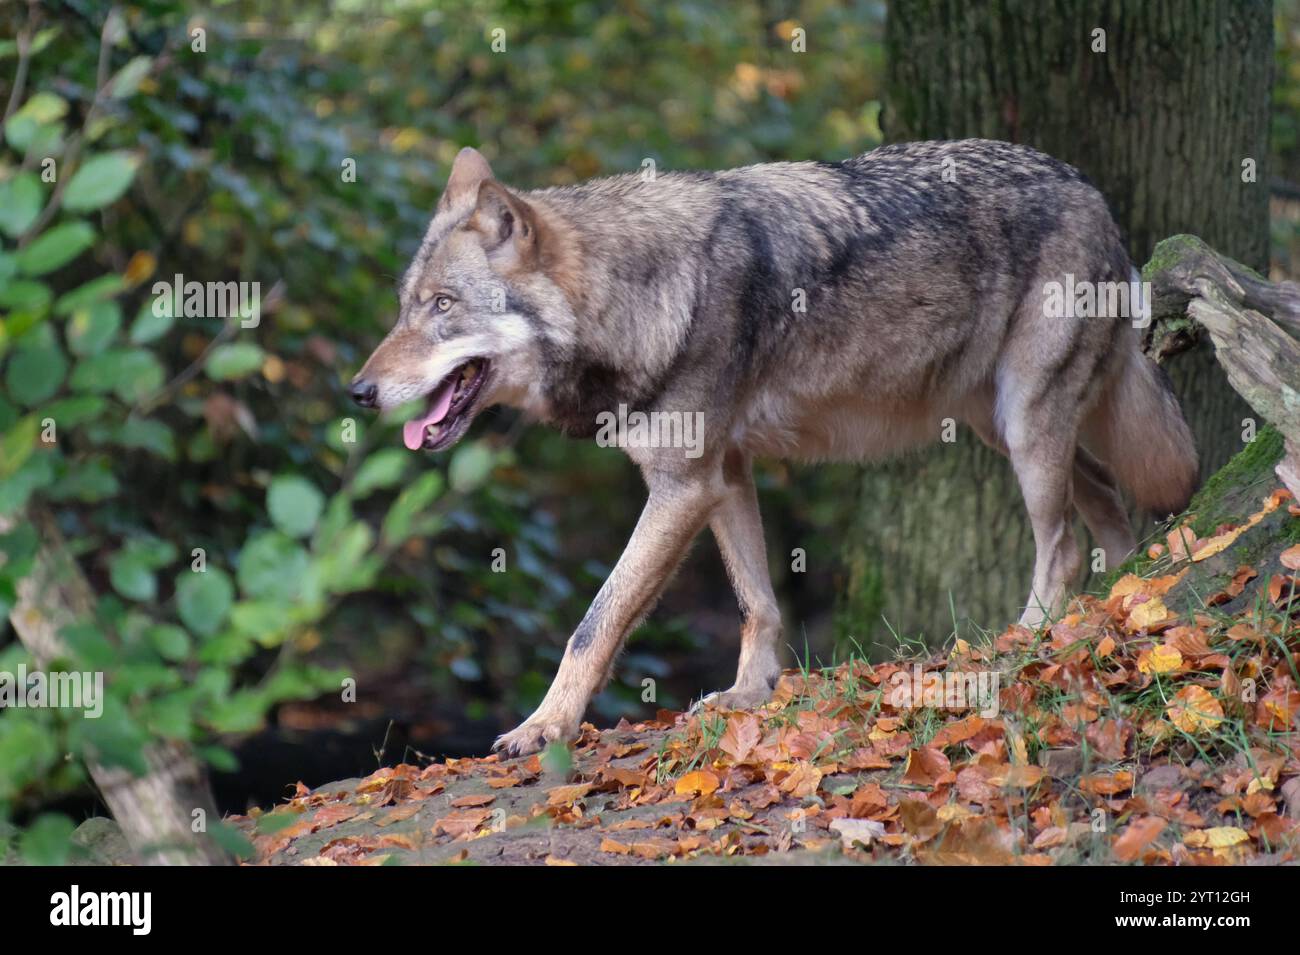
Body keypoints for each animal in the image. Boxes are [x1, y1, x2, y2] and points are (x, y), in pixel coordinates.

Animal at [351, 140, 1198, 757]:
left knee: (1062, 543)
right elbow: (756, 600)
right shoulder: (723, 474)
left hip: (1024, 422)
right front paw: (750, 692)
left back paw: (1031, 637)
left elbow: (593, 622)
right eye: (403, 307)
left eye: (443, 306)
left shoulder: (681, 485)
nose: (357, 392)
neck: (640, 292)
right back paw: (1121, 599)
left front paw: (543, 727)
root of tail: (1094, 193)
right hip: (1004, 423)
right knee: (1107, 506)